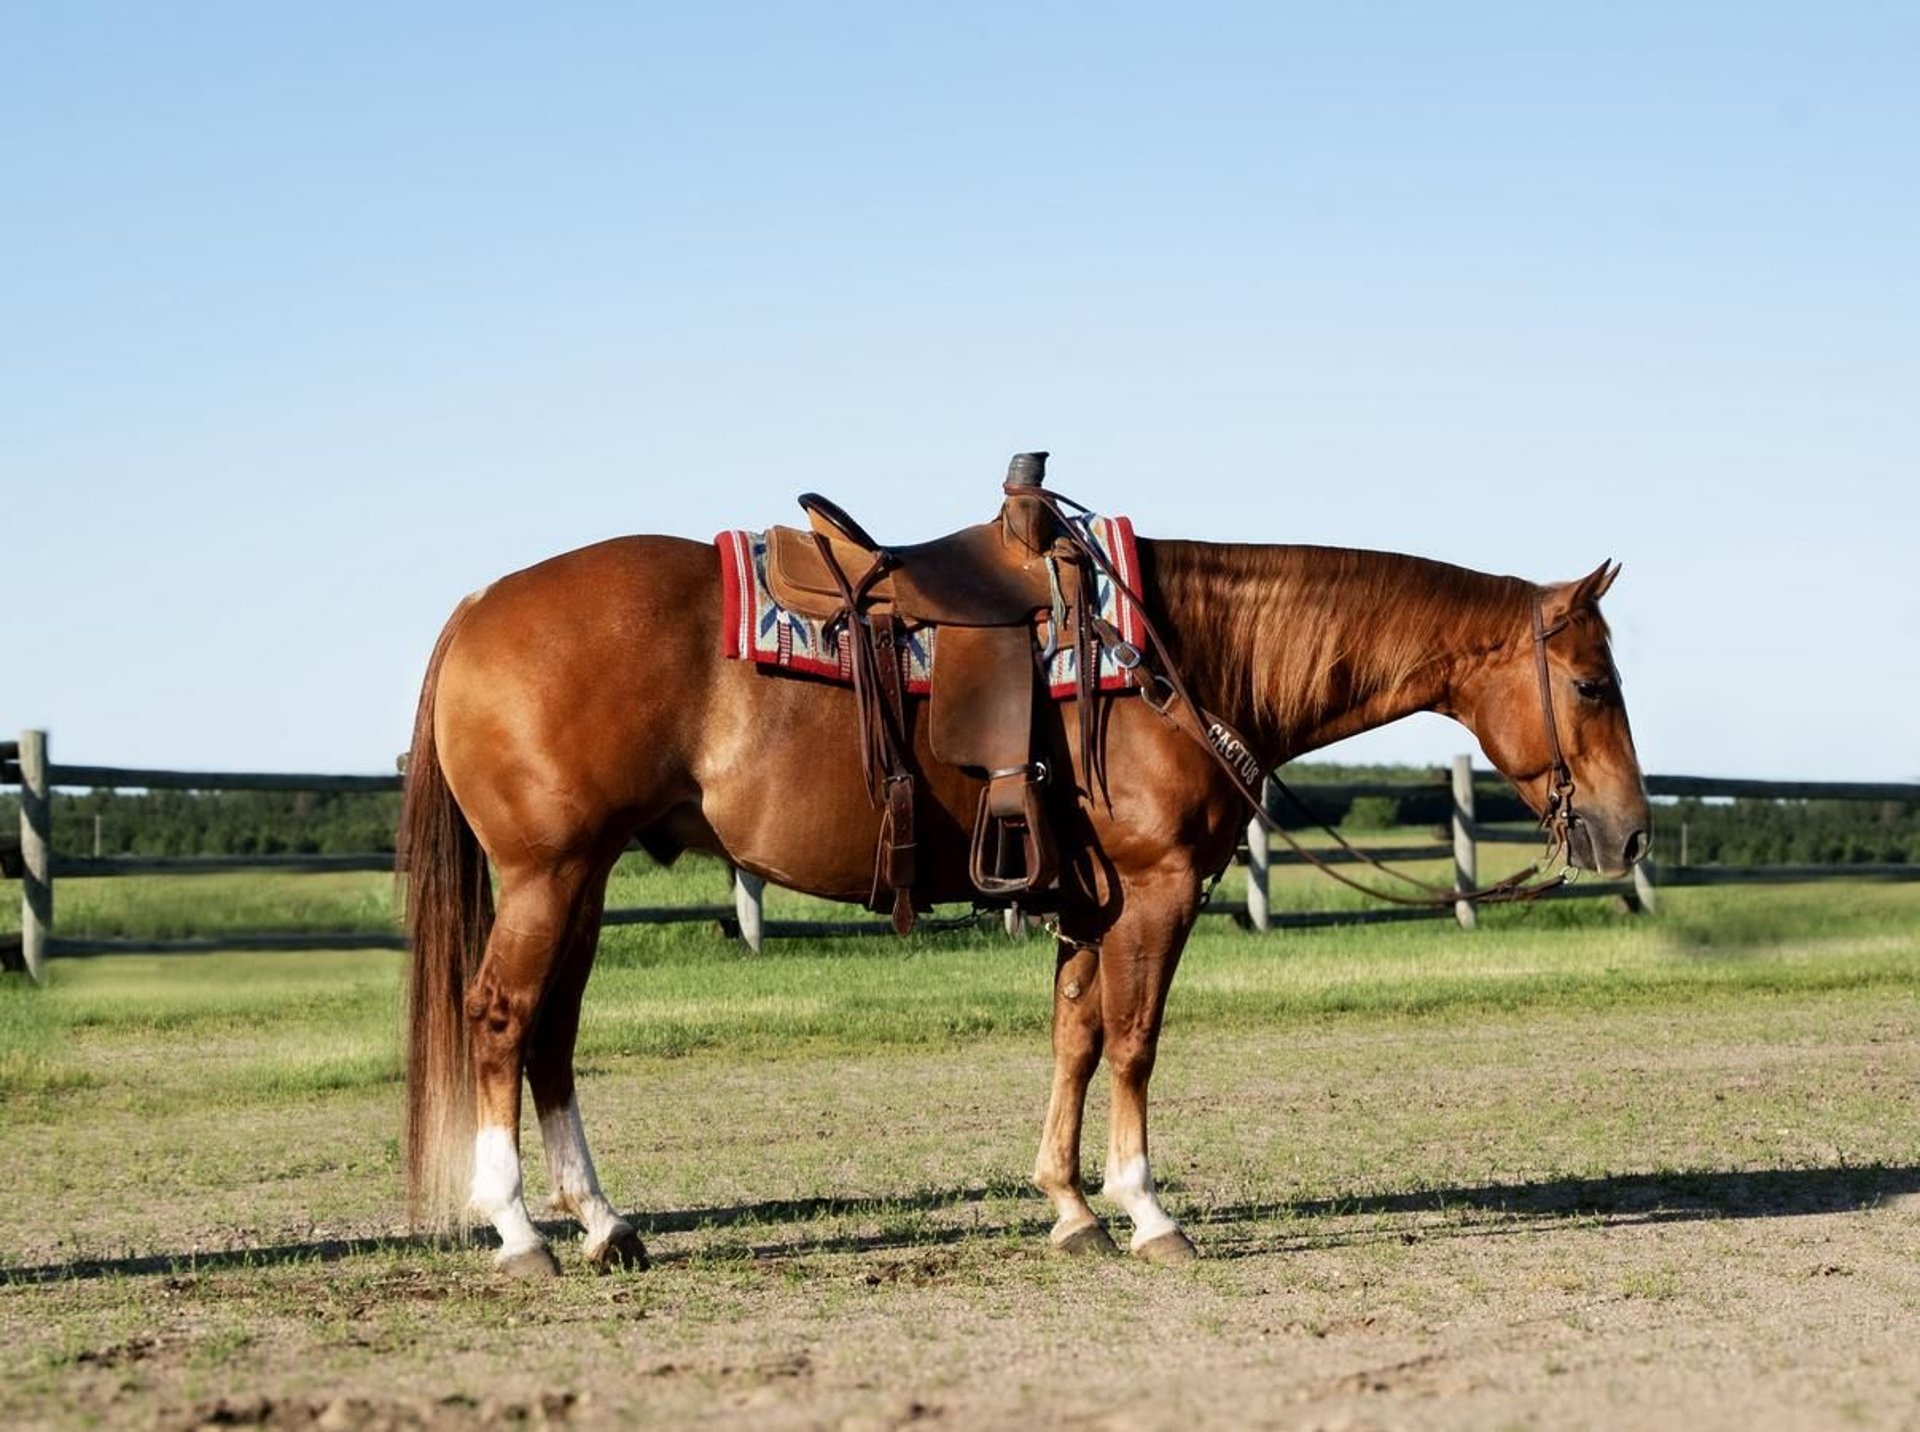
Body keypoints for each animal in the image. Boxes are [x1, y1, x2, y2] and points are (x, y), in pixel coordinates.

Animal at [399, 506, 1649, 1276]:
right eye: (1593, 682)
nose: (1631, 829)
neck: (1173, 655)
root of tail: (475, 605)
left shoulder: (1090, 904)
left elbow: (1076, 1036)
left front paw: (1068, 1205)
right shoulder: (1156, 891)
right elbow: (1135, 1042)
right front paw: (1146, 1209)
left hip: (583, 876)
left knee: (553, 1035)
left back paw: (605, 1224)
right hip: (549, 874)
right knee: (502, 1018)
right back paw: (518, 1229)